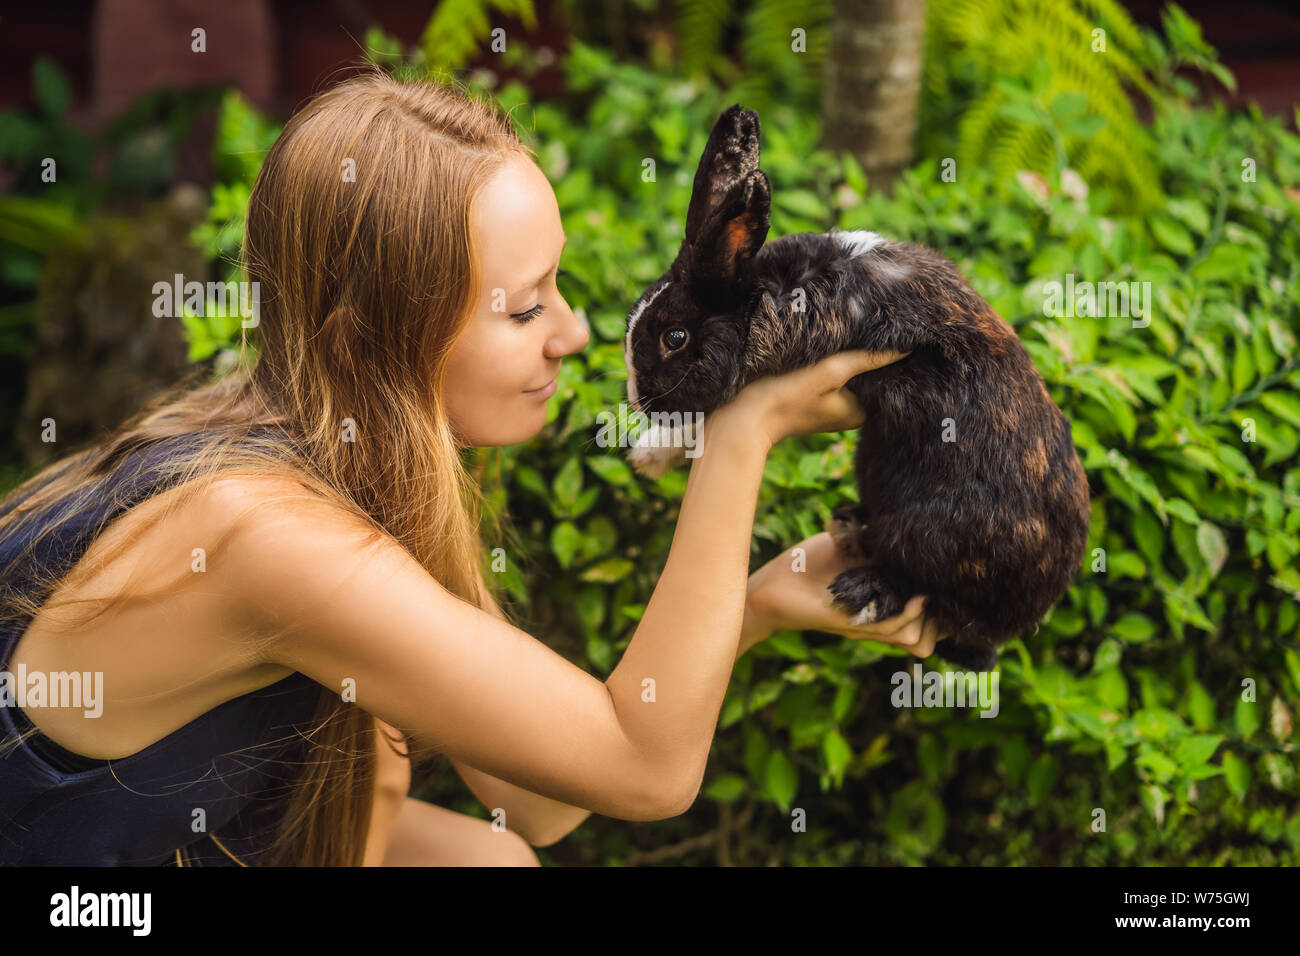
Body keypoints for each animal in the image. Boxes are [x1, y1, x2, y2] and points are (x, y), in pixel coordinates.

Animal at [622, 104, 1092, 672]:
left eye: (674, 337)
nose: (636, 398)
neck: (768, 292)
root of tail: (1020, 619)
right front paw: (649, 455)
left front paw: (649, 453)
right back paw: (850, 529)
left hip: (934, 534)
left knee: (931, 594)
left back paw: (865, 591)